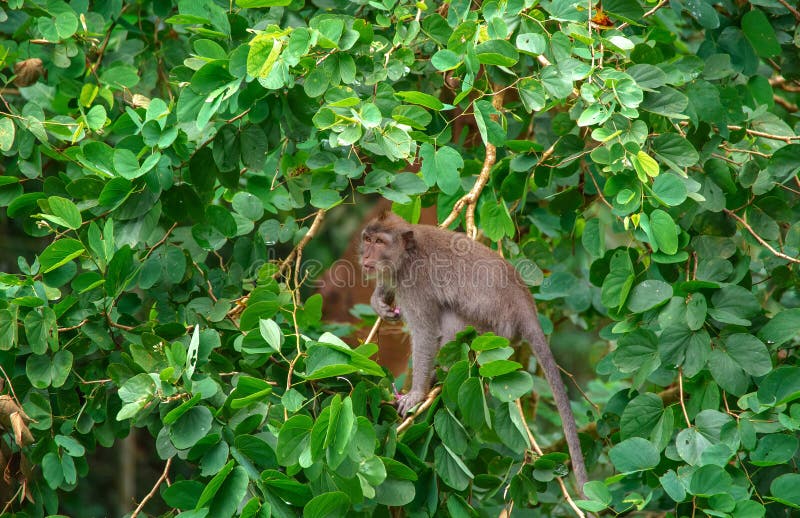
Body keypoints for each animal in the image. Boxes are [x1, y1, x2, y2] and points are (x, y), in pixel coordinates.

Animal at [360, 211, 589, 492]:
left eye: (380, 242)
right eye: (367, 239)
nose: (365, 257)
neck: (406, 256)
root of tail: (525, 304)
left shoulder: (415, 284)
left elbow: (425, 332)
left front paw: (416, 394)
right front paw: (379, 299)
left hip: (491, 329)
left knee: (451, 317)